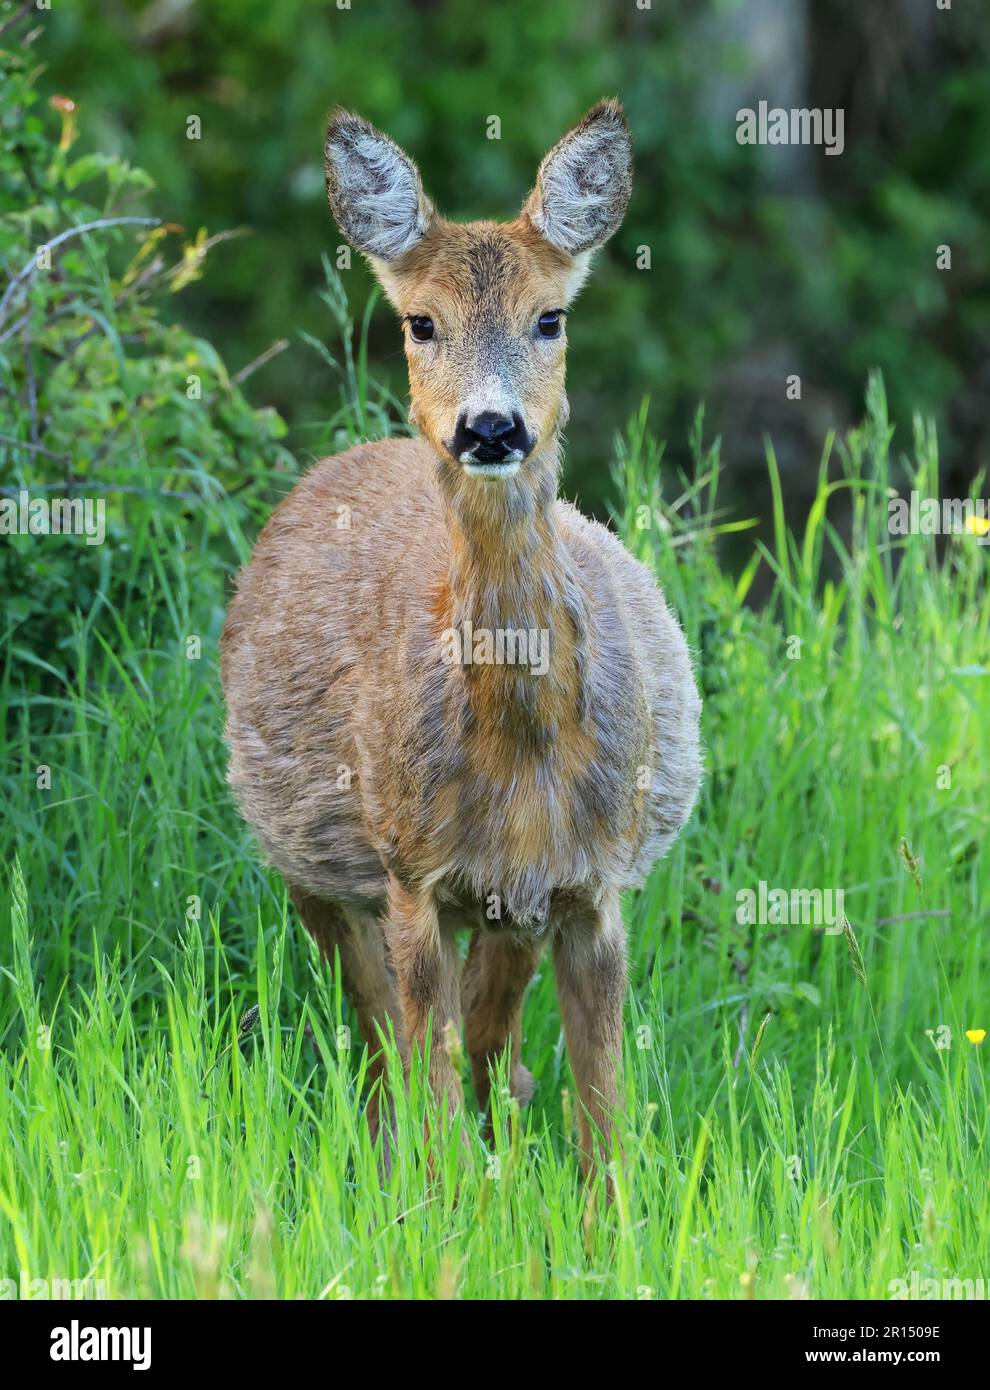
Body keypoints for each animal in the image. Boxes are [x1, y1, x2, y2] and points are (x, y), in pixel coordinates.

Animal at [221, 99, 702, 1174]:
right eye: (420, 321)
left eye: (551, 317)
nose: (489, 428)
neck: (521, 757)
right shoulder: (412, 873)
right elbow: (431, 1090)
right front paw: (446, 1205)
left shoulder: (591, 885)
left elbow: (604, 1122)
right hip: (309, 860)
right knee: (384, 1051)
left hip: (501, 908)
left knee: (493, 1051)